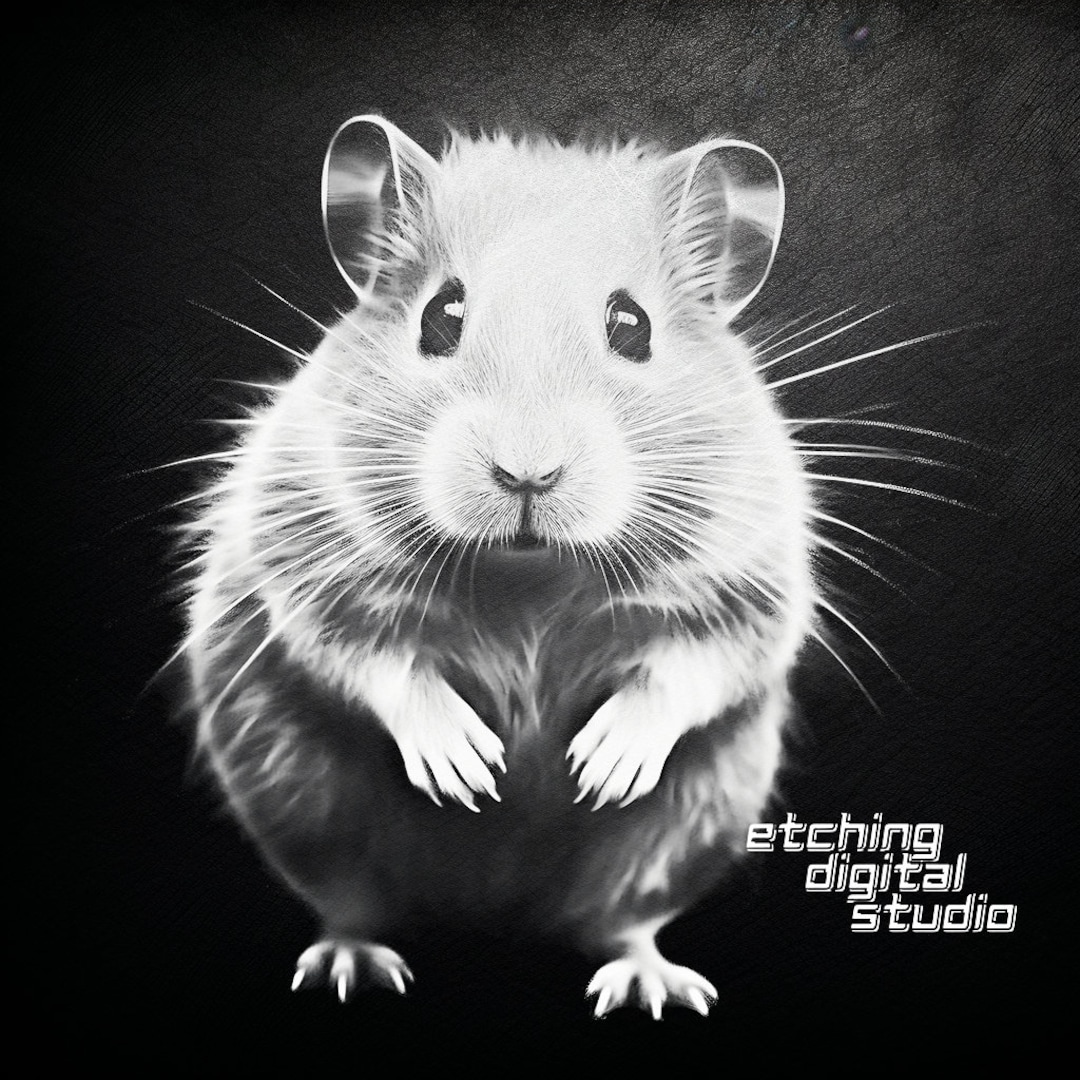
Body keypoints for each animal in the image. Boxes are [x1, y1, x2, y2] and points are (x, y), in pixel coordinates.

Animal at [181, 115, 814, 1018]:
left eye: (632, 327)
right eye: (440, 317)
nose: (527, 473)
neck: (528, 576)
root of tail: (490, 911)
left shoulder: (750, 576)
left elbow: (693, 665)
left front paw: (599, 767)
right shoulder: (305, 557)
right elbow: (373, 659)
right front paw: (471, 773)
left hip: (688, 826)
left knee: (620, 920)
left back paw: (655, 985)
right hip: (303, 803)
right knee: (351, 903)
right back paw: (351, 966)